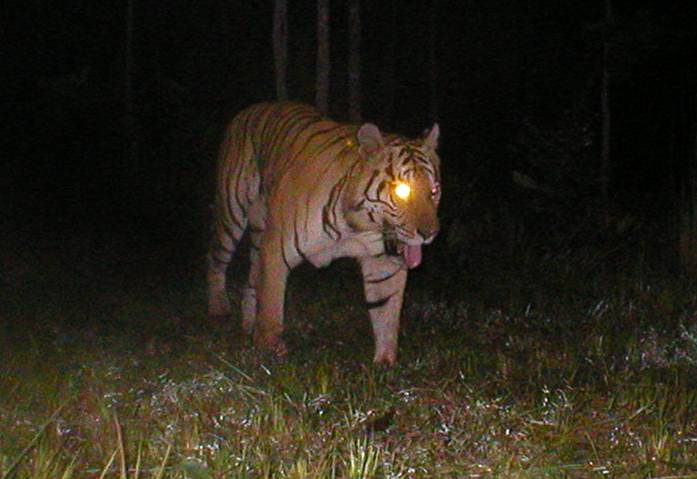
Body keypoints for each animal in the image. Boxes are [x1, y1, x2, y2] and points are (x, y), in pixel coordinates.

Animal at [207, 101, 441, 365]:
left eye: (434, 191)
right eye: (401, 190)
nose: (430, 233)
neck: (357, 225)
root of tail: (250, 109)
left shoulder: (384, 263)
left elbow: (386, 313)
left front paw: (385, 364)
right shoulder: (275, 249)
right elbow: (272, 304)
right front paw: (269, 352)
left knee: (251, 280)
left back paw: (247, 325)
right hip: (231, 213)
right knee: (215, 258)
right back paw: (219, 310)